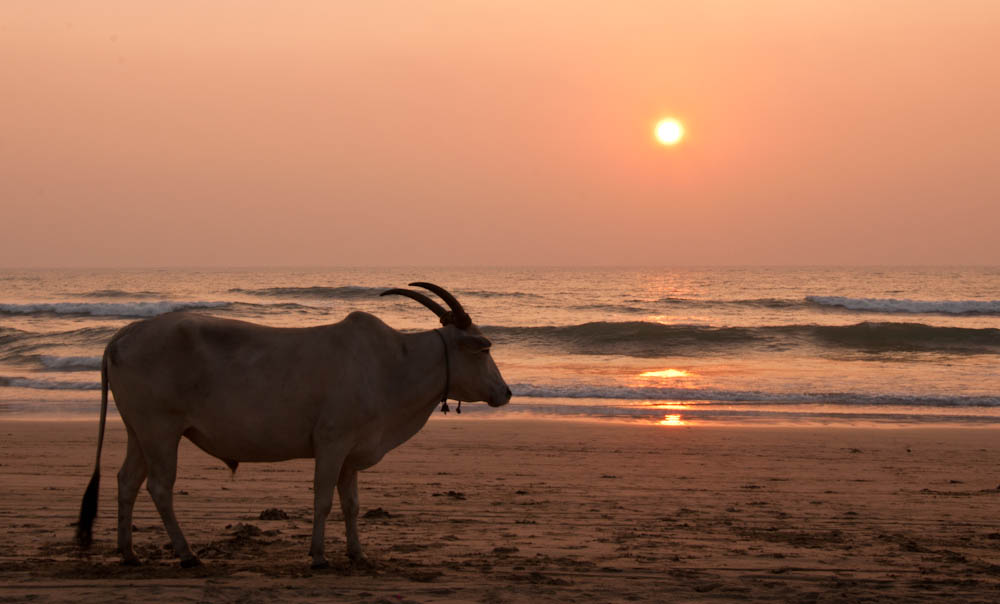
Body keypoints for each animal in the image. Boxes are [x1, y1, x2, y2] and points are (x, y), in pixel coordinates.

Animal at [75, 282, 511, 569]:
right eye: (484, 348)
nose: (506, 392)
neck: (394, 364)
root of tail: (123, 334)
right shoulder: (332, 444)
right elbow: (323, 500)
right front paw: (318, 557)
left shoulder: (351, 454)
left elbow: (351, 504)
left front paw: (358, 554)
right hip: (161, 432)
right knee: (159, 488)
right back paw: (187, 555)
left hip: (140, 433)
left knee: (127, 481)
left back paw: (129, 553)